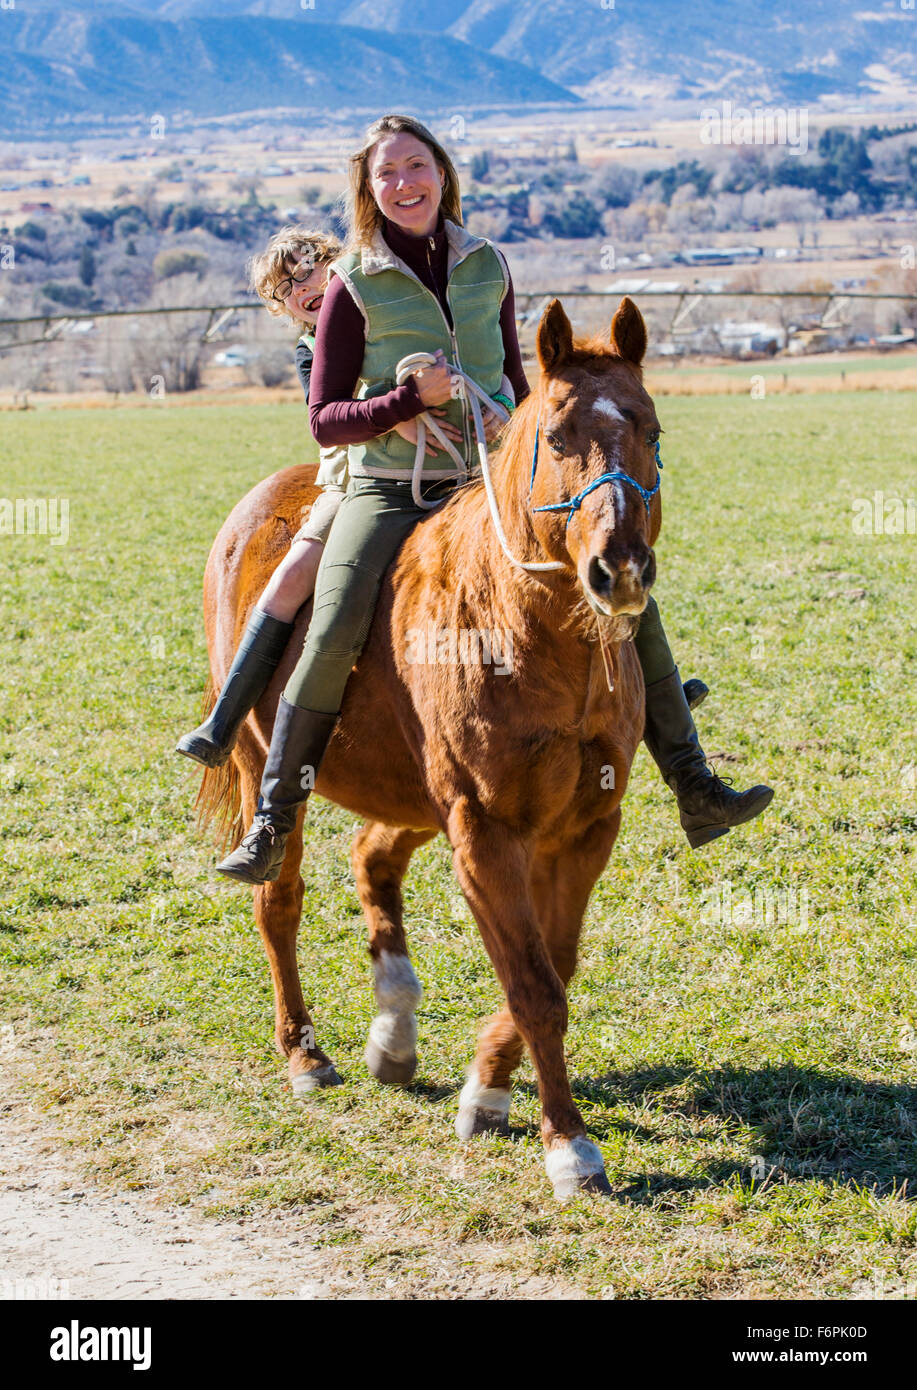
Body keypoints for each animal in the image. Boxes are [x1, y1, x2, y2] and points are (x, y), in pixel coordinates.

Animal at [195, 296, 662, 1200]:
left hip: (410, 793)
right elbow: (534, 984)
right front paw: (568, 1144)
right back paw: (306, 1053)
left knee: (372, 857)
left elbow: (554, 965)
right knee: (280, 901)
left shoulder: (585, 827)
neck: (536, 634)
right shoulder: (483, 830)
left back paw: (394, 1029)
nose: (617, 569)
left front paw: (488, 1089)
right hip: (270, 770)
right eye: (557, 439)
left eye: (652, 432)